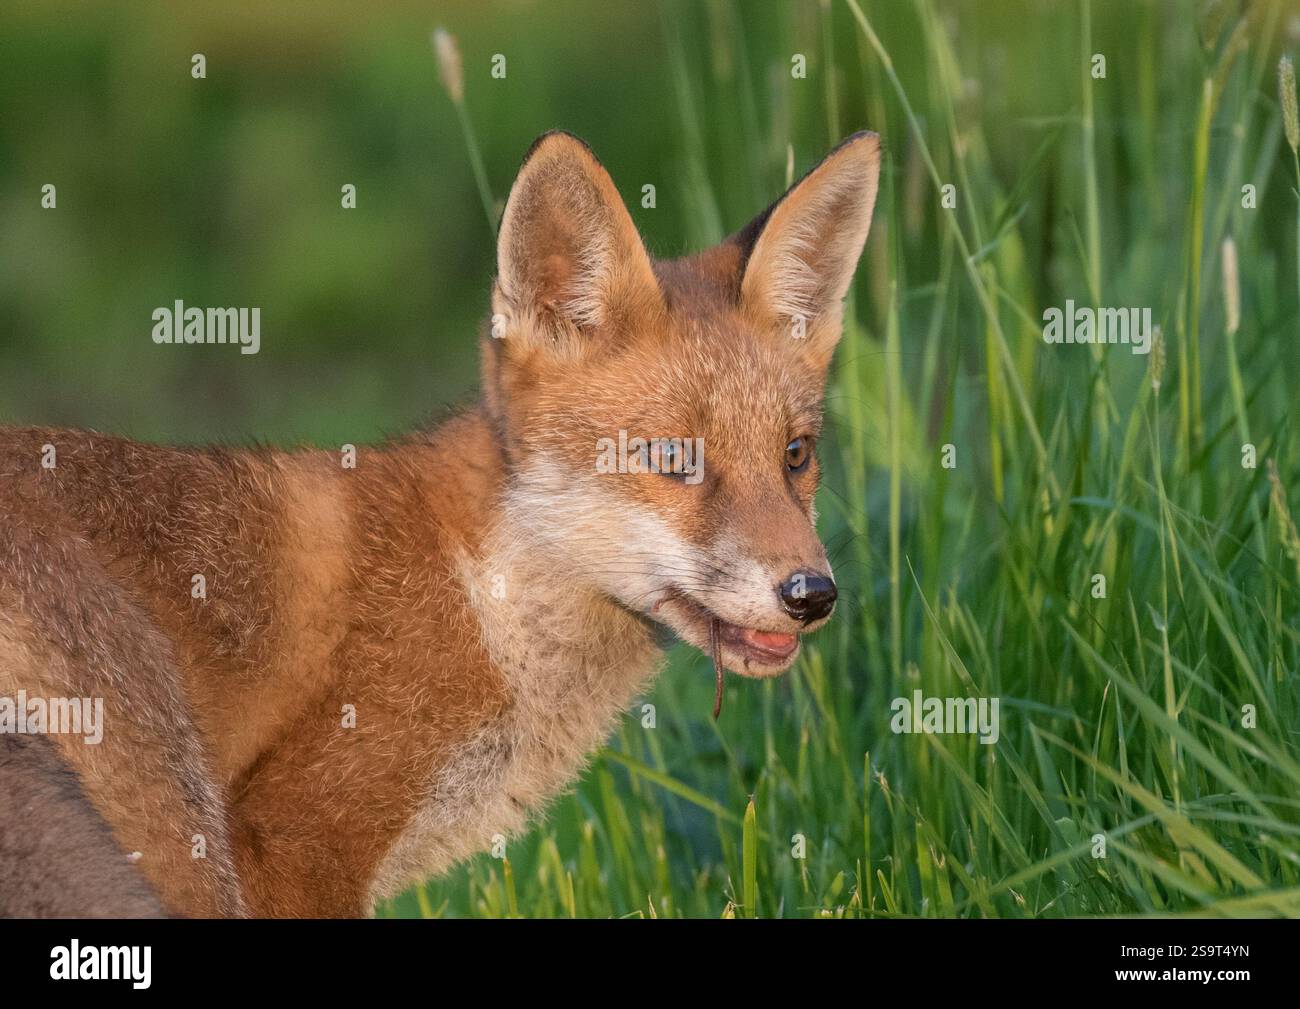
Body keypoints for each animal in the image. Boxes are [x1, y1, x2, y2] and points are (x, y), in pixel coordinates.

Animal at [0, 129, 880, 917]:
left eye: (796, 454)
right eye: (673, 458)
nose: (812, 593)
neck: (482, 599)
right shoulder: (297, 838)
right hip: (176, 825)